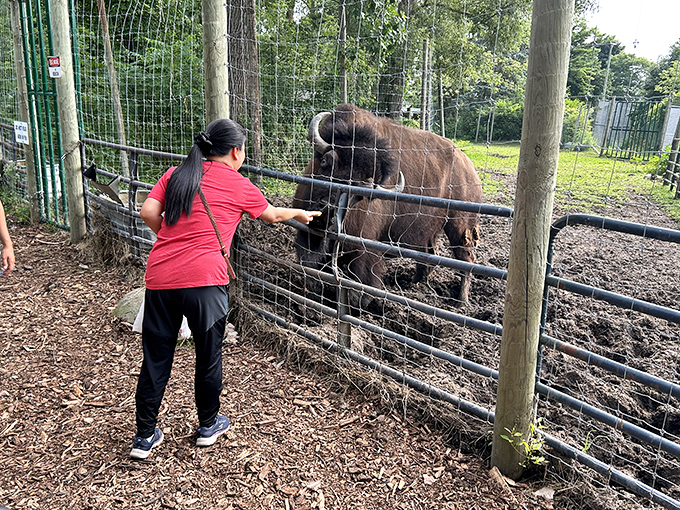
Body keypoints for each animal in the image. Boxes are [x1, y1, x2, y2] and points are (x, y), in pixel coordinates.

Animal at [293, 103, 482, 303]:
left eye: (362, 191)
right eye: (324, 161)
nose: (327, 211)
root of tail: (470, 170)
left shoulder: (364, 249)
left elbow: (361, 285)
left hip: (460, 226)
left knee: (466, 258)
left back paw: (461, 301)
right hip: (429, 229)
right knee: (428, 256)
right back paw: (414, 285)